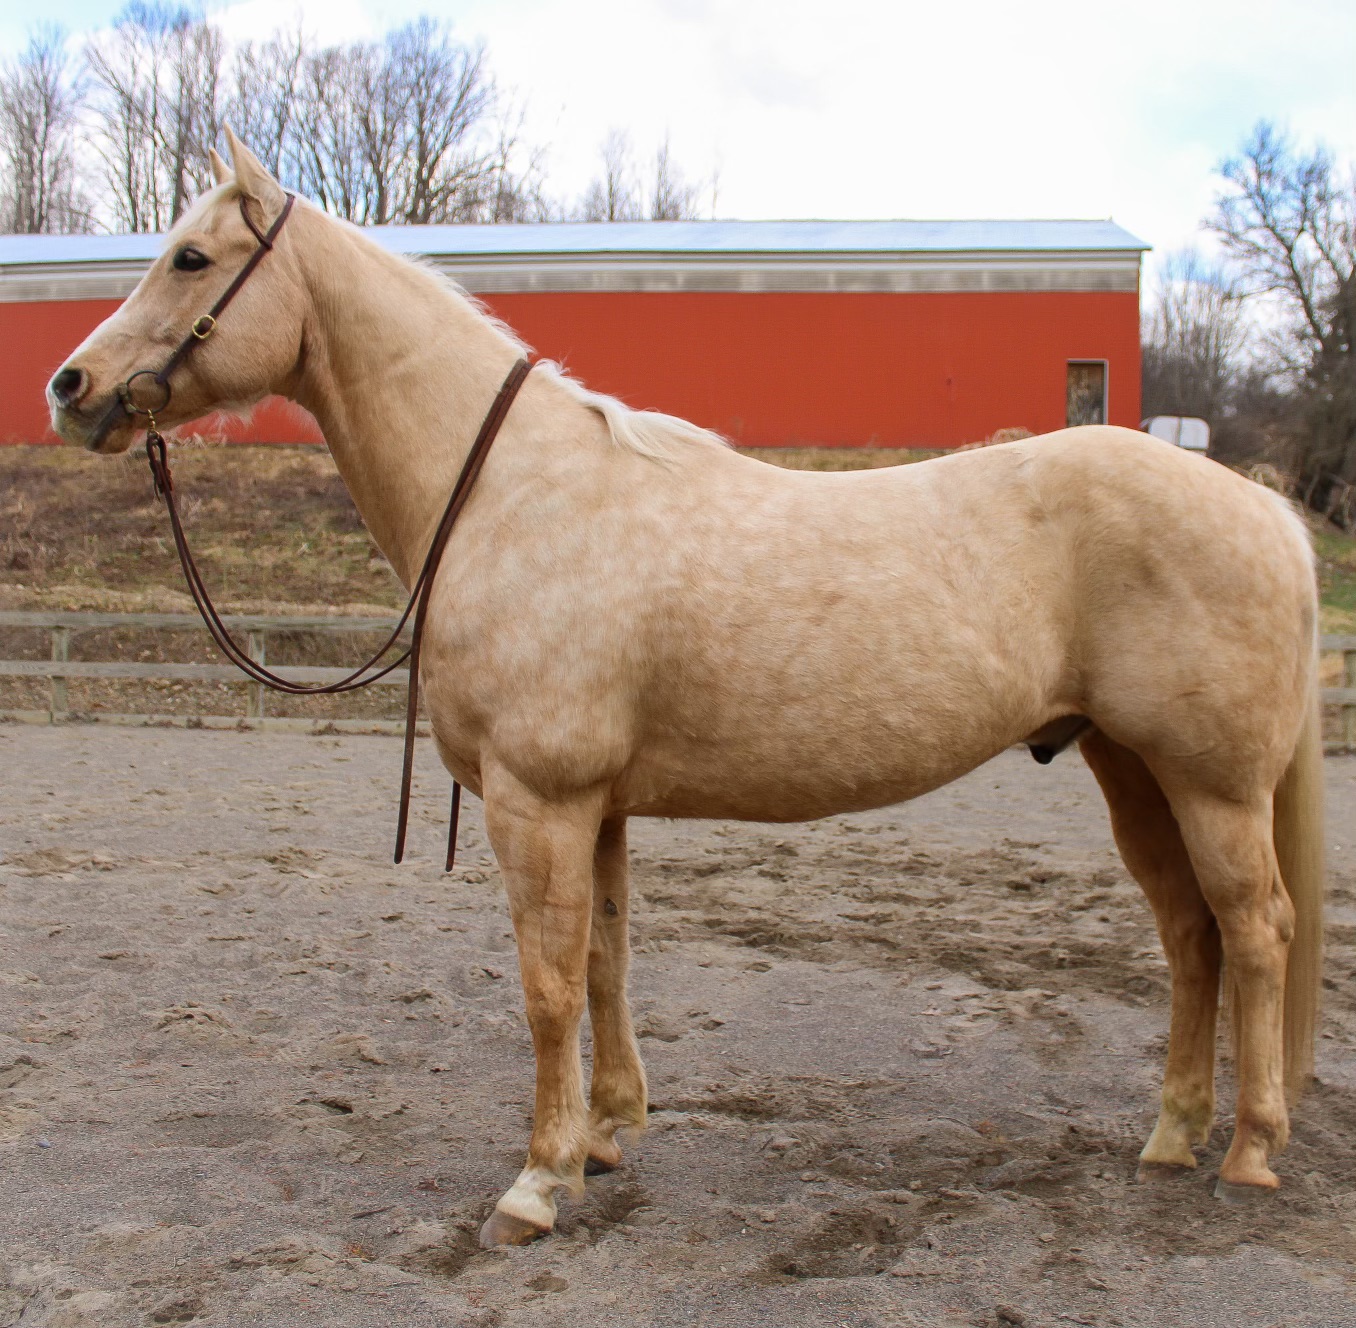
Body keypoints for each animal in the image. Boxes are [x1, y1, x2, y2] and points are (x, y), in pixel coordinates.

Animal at [47, 131, 1324, 1248]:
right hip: (1131, 768)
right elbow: (605, 961)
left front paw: (536, 1182)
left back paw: (1250, 1149)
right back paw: (1170, 1135)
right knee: (1191, 935)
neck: (512, 493)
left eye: (191, 257)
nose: (72, 385)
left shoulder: (539, 800)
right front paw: (607, 1134)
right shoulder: (598, 806)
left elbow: (546, 985)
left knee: (1256, 929)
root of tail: (1263, 507)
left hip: (1209, 784)